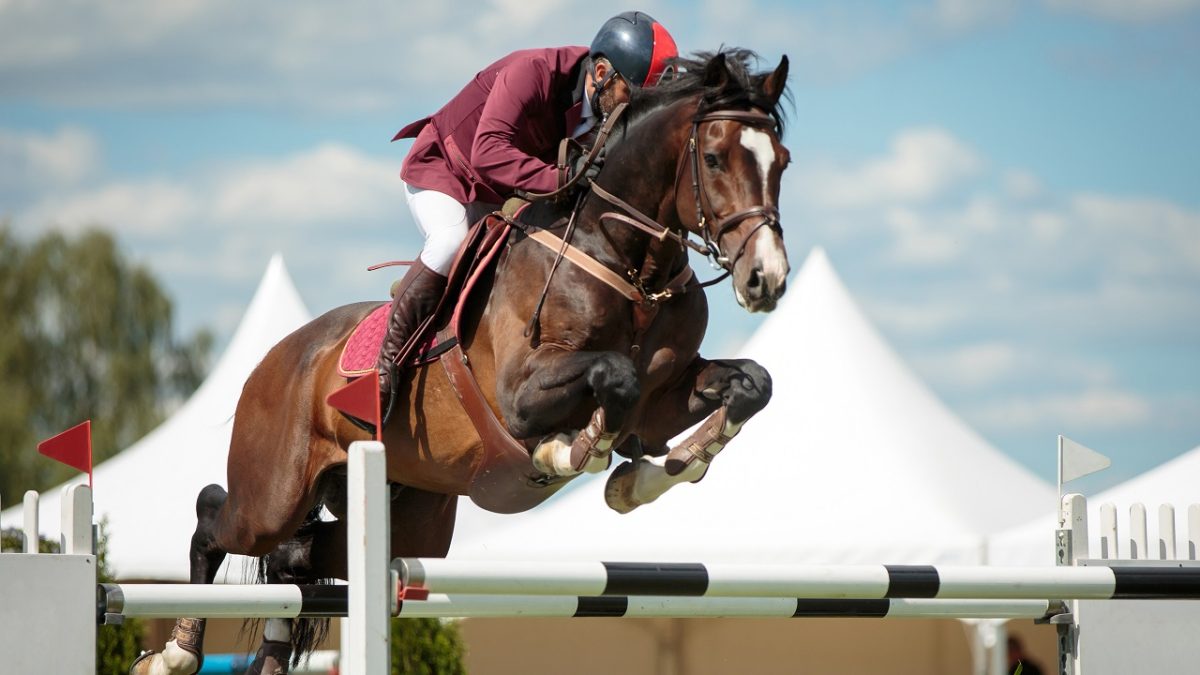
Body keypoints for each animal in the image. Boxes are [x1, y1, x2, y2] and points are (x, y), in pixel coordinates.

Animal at [133, 49, 791, 675]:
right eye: (714, 159)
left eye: (782, 161)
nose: (767, 279)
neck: (627, 262)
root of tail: (276, 357)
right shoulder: (523, 396)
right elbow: (614, 377)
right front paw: (577, 453)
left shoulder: (661, 403)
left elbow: (751, 385)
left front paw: (652, 475)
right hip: (273, 493)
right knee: (215, 518)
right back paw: (174, 653)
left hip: (407, 516)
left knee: (295, 555)